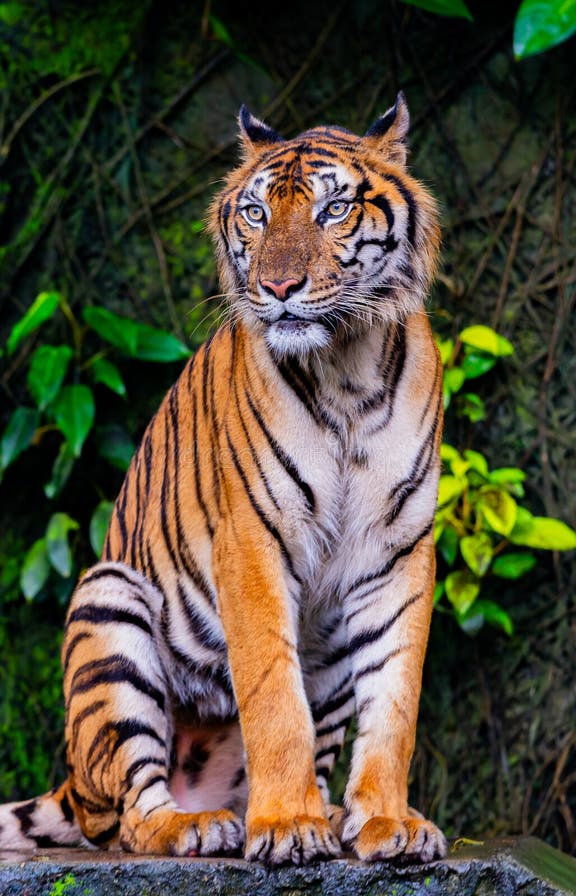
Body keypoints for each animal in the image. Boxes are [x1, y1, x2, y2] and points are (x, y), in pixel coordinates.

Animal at [0, 93, 446, 866]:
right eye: (257, 214)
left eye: (334, 210)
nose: (278, 288)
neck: (348, 372)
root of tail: (73, 782)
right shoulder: (252, 540)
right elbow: (272, 695)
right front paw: (287, 824)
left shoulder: (400, 552)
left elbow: (394, 701)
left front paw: (387, 822)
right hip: (108, 602)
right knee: (127, 819)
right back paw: (203, 824)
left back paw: (326, 814)